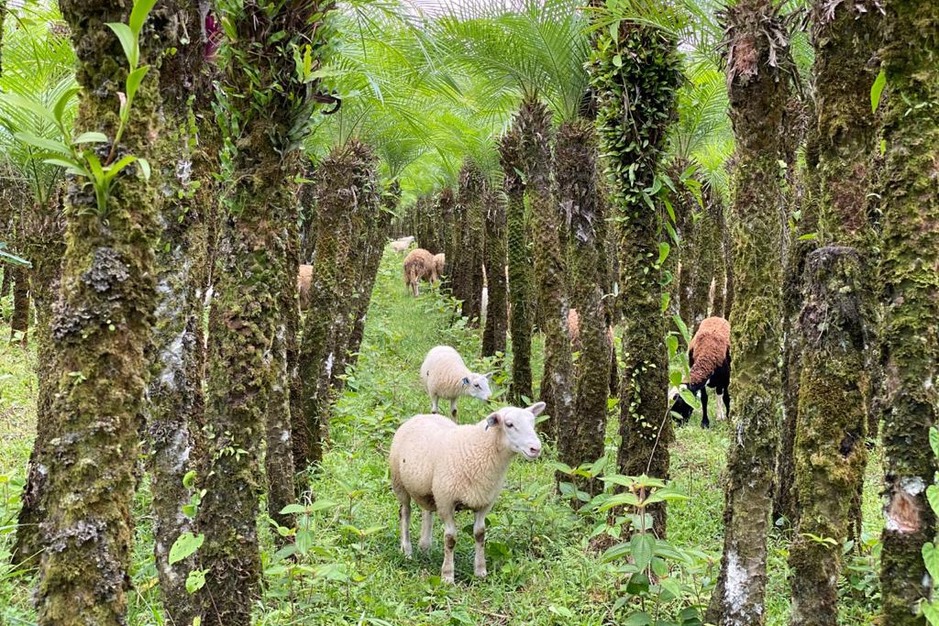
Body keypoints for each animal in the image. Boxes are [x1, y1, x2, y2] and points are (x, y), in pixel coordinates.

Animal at [388, 402, 545, 583]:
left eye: (533, 422)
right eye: (509, 424)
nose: (535, 448)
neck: (479, 447)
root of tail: (420, 416)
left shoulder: (485, 502)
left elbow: (480, 534)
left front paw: (480, 571)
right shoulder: (446, 501)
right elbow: (450, 539)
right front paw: (447, 575)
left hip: (429, 490)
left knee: (427, 511)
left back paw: (425, 546)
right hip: (399, 483)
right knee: (405, 513)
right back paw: (406, 550)